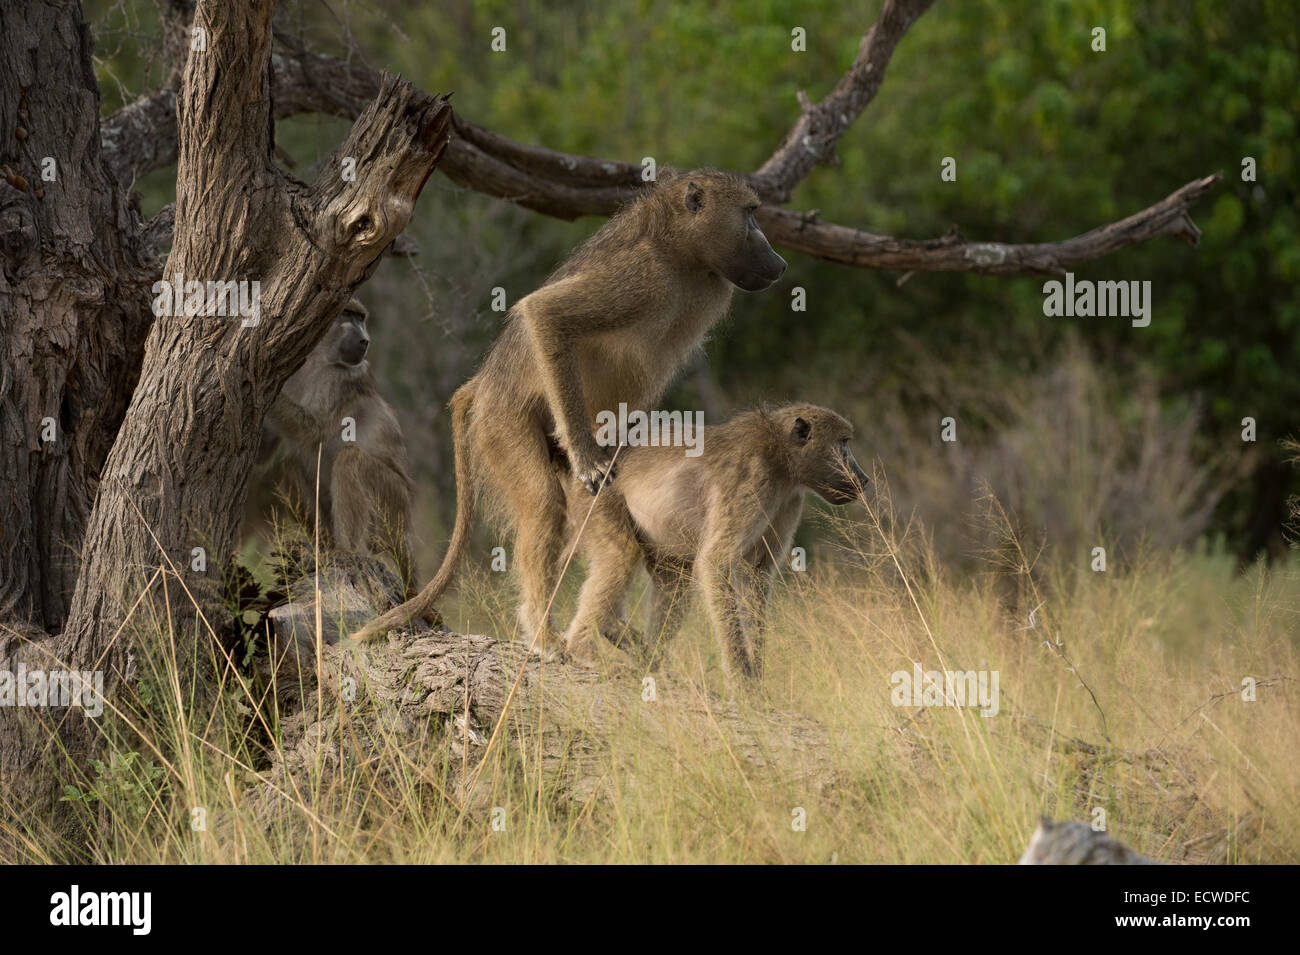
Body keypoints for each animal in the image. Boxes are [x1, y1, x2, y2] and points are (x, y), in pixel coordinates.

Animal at [261, 298, 421, 597]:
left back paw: (347, 551)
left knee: (350, 460)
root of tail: (405, 532)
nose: (365, 341)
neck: (319, 361)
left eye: (361, 318)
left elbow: (314, 431)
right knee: (291, 464)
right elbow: (266, 455)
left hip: (393, 505)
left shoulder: (342, 381)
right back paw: (323, 549)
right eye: (347, 314)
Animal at [350, 168, 787, 645]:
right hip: (501, 424)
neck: (681, 252)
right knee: (542, 501)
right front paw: (589, 461)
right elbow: (545, 314)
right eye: (750, 214)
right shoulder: (643, 275)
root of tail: (482, 386)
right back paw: (542, 633)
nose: (780, 263)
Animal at [560, 403, 869, 684]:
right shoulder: (753, 480)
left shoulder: (789, 500)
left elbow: (755, 573)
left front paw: (756, 677)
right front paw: (741, 681)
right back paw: (583, 648)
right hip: (598, 497)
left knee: (675, 580)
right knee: (622, 555)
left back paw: (643, 653)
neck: (781, 457)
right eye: (843, 443)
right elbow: (716, 562)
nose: (863, 479)